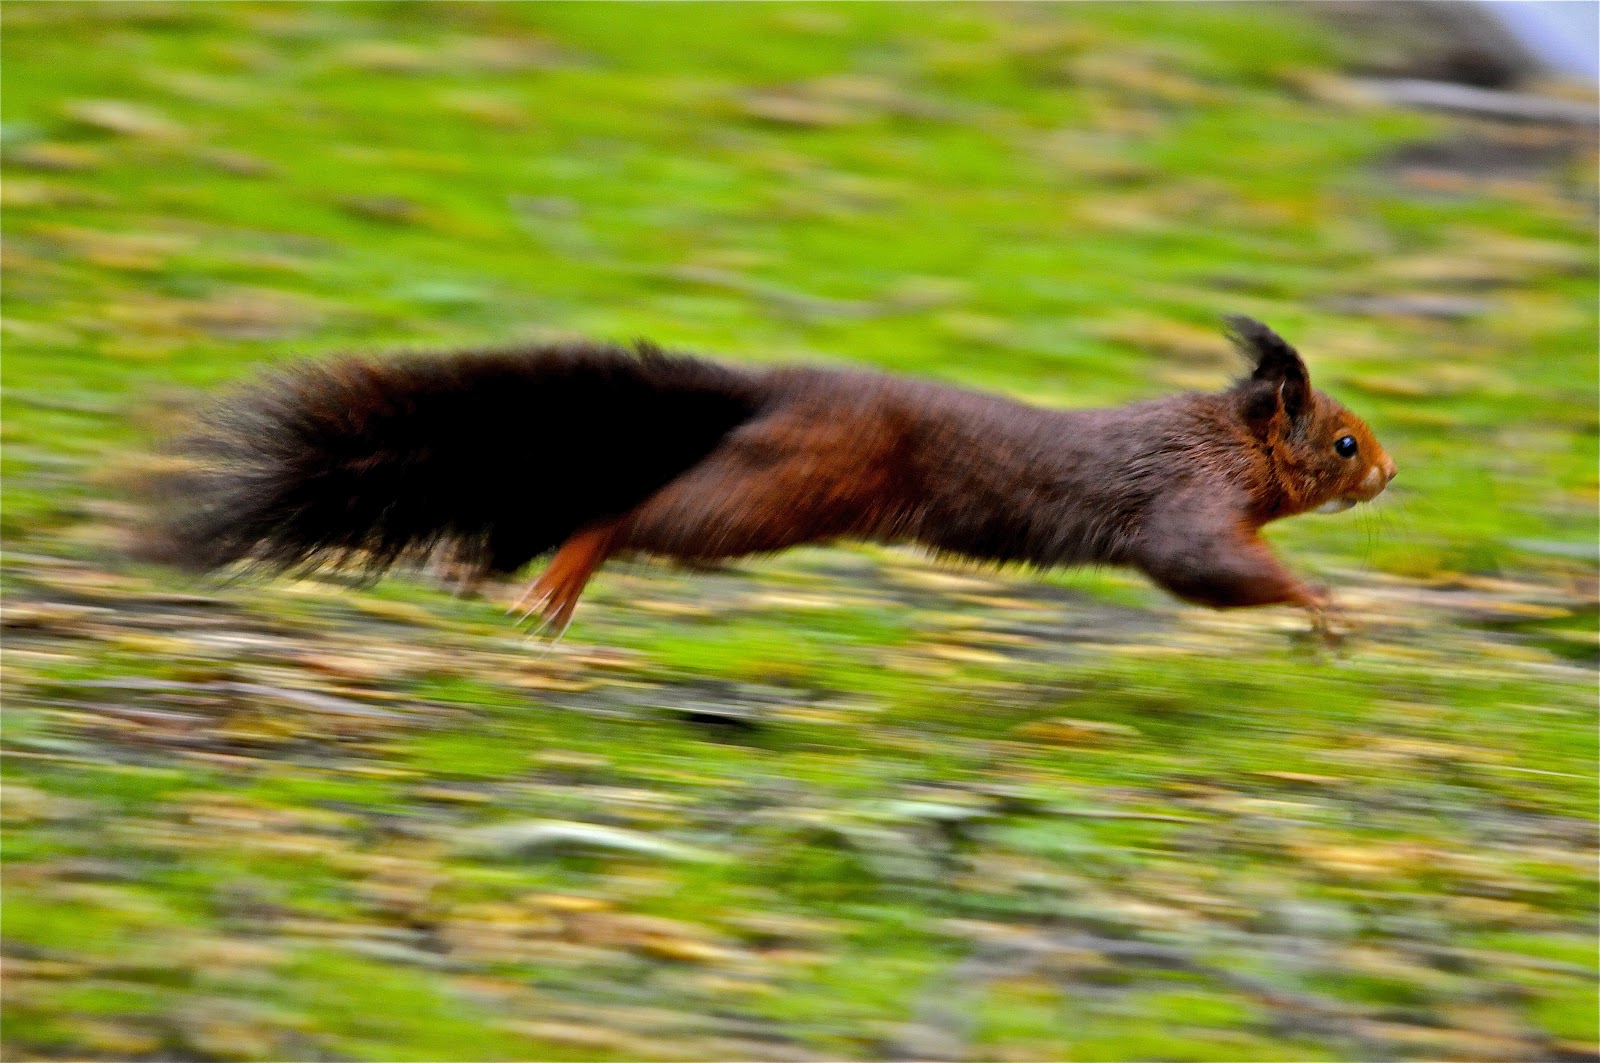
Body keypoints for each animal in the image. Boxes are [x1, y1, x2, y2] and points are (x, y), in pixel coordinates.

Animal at [140, 315, 1395, 640]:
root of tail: (766, 392)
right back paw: (567, 568)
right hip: (766, 499)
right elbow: (1205, 564)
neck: (1227, 438)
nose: (1390, 469)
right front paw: (1323, 606)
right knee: (630, 508)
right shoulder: (1182, 503)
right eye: (1340, 442)